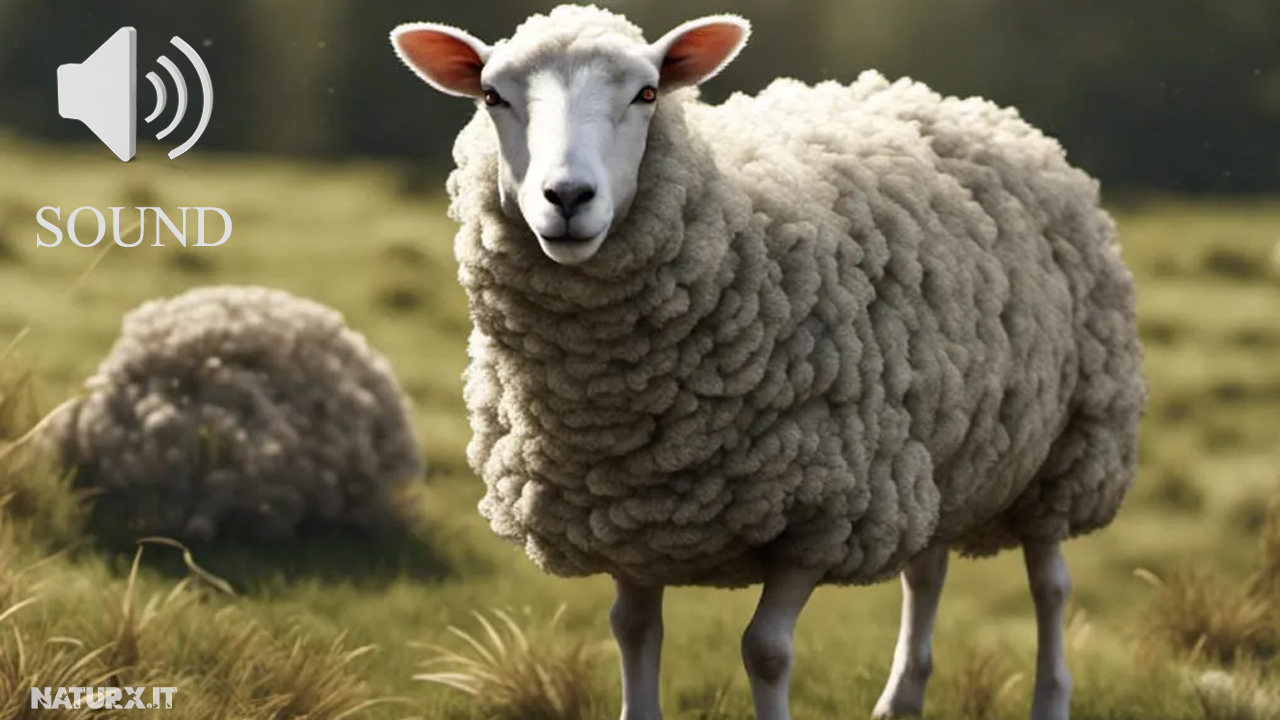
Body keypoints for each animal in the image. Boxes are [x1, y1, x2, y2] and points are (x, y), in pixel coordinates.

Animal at [389, 6, 1147, 720]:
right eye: (493, 95)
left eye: (647, 92)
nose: (568, 197)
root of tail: (982, 109)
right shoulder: (631, 519)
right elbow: (632, 632)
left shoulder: (822, 516)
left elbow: (766, 651)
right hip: (937, 452)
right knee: (926, 570)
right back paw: (902, 697)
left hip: (1067, 450)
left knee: (1050, 585)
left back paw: (1050, 697)